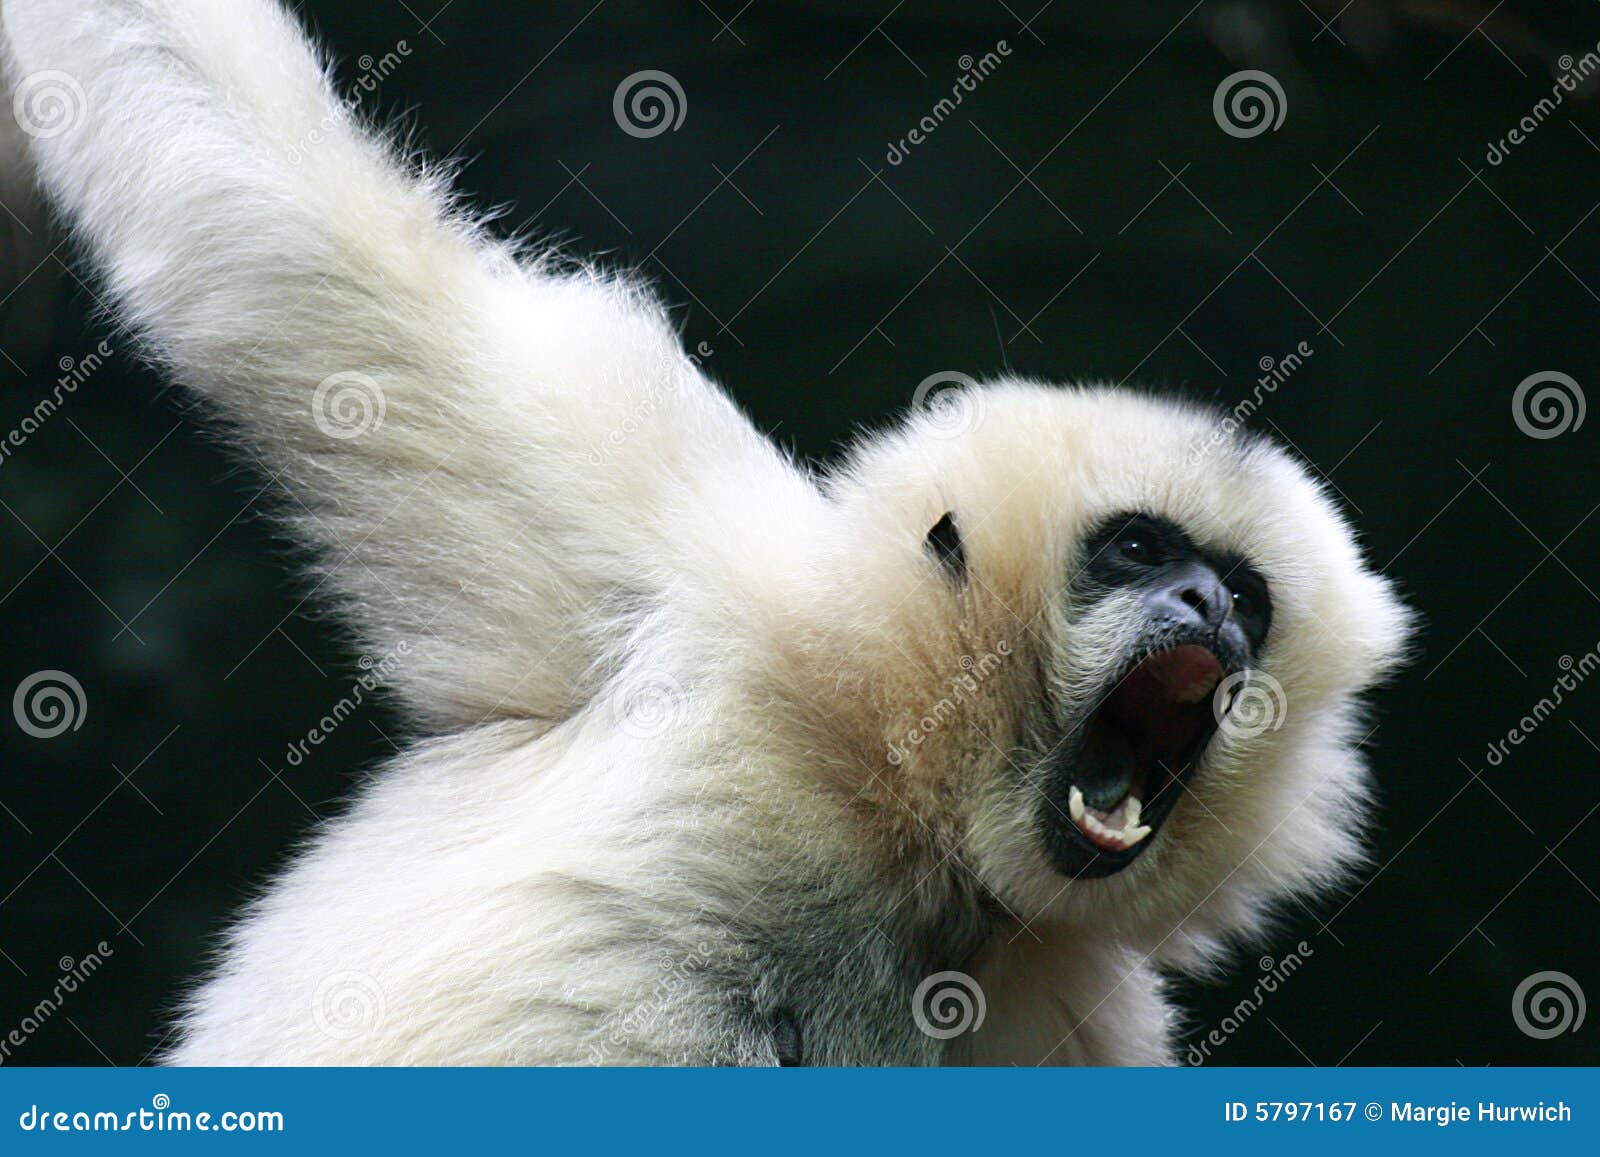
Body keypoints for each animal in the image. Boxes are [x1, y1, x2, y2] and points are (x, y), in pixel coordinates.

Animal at [1, 0, 1414, 1065]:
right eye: (1137, 551)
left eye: (1245, 592)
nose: (1209, 611)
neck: (909, 819)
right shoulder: (687, 567)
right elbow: (258, 217)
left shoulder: (1063, 1009)